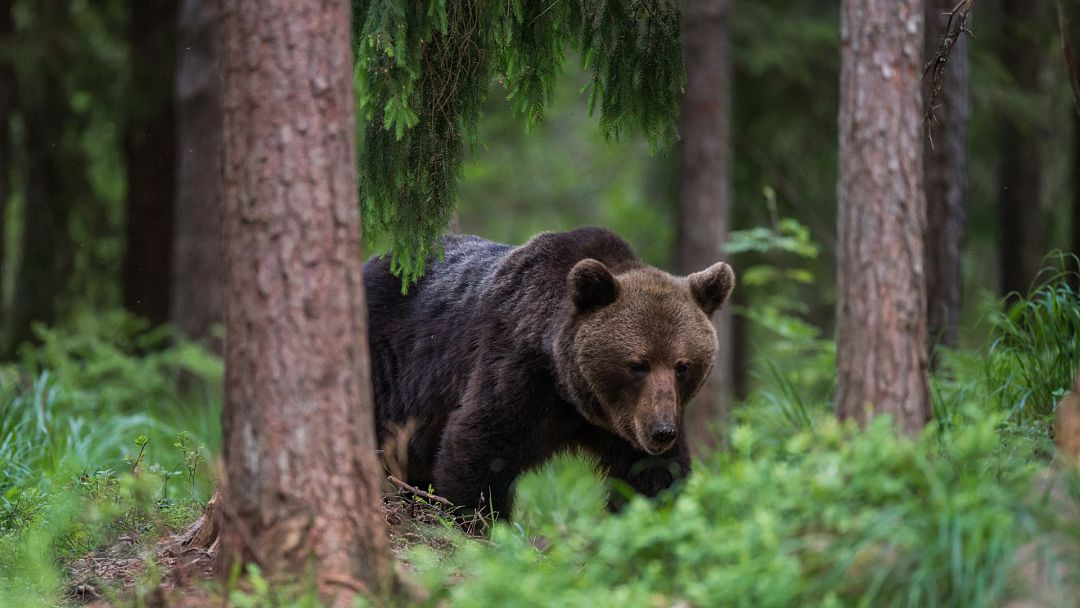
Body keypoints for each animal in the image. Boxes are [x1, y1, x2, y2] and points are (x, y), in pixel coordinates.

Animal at [364, 227, 735, 518]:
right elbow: (478, 446)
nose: (662, 431)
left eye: (682, 365)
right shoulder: (517, 370)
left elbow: (651, 476)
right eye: (637, 364)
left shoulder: (628, 425)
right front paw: (475, 522)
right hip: (389, 360)